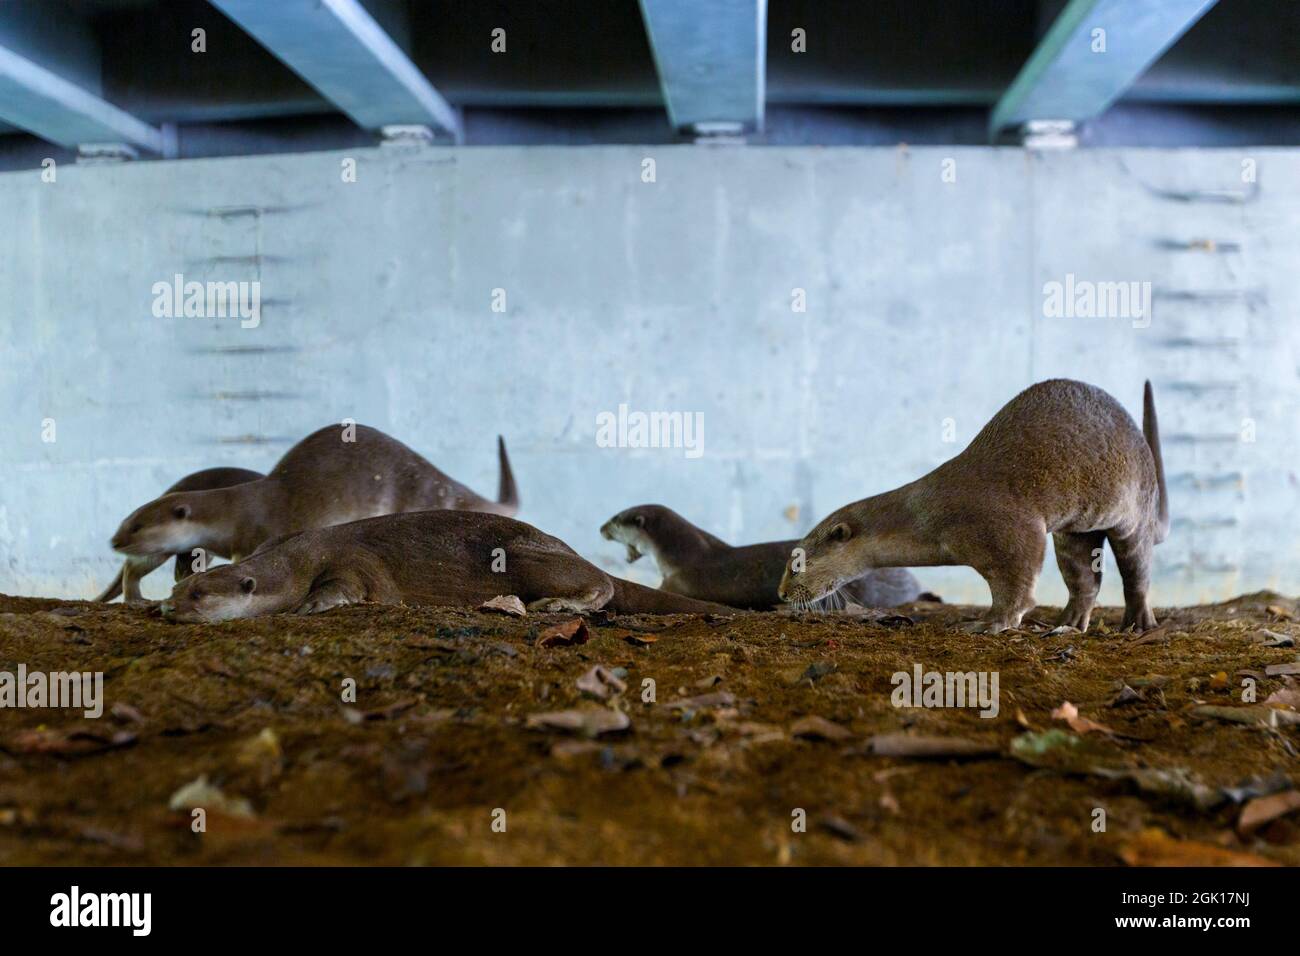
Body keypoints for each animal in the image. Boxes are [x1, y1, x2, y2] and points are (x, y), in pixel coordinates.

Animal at [110, 425, 518, 569]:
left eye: (137, 526)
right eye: (125, 520)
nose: (114, 541)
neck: (237, 511)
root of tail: (436, 478)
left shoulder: (261, 530)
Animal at [778, 380, 1169, 633]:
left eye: (796, 565)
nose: (781, 594)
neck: (928, 514)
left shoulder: (1003, 525)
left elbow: (1018, 581)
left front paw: (992, 622)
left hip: (1132, 511)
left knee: (1138, 569)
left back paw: (1139, 623)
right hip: (1074, 533)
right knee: (1084, 578)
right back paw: (1068, 623)